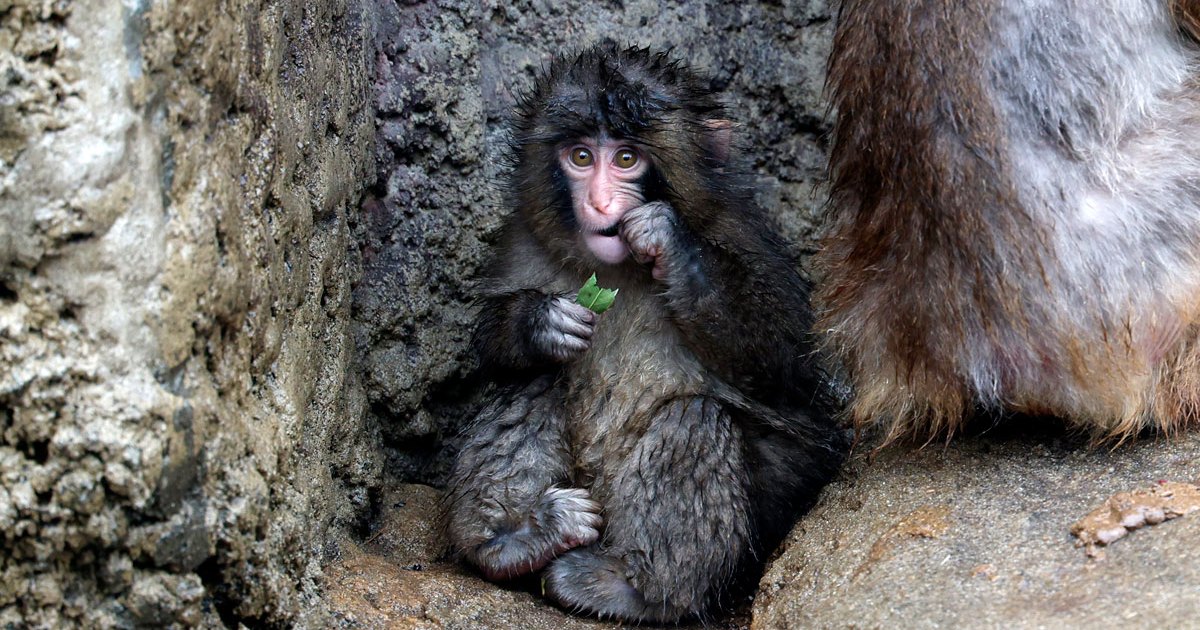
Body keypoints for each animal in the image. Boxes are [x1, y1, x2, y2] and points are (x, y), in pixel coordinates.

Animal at [441, 44, 846, 624]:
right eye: (581, 157)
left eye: (627, 160)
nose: (601, 204)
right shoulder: (523, 241)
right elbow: (493, 351)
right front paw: (538, 322)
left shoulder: (746, 237)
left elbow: (786, 364)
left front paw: (670, 243)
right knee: (537, 380)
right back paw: (515, 541)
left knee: (694, 418)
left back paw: (638, 590)